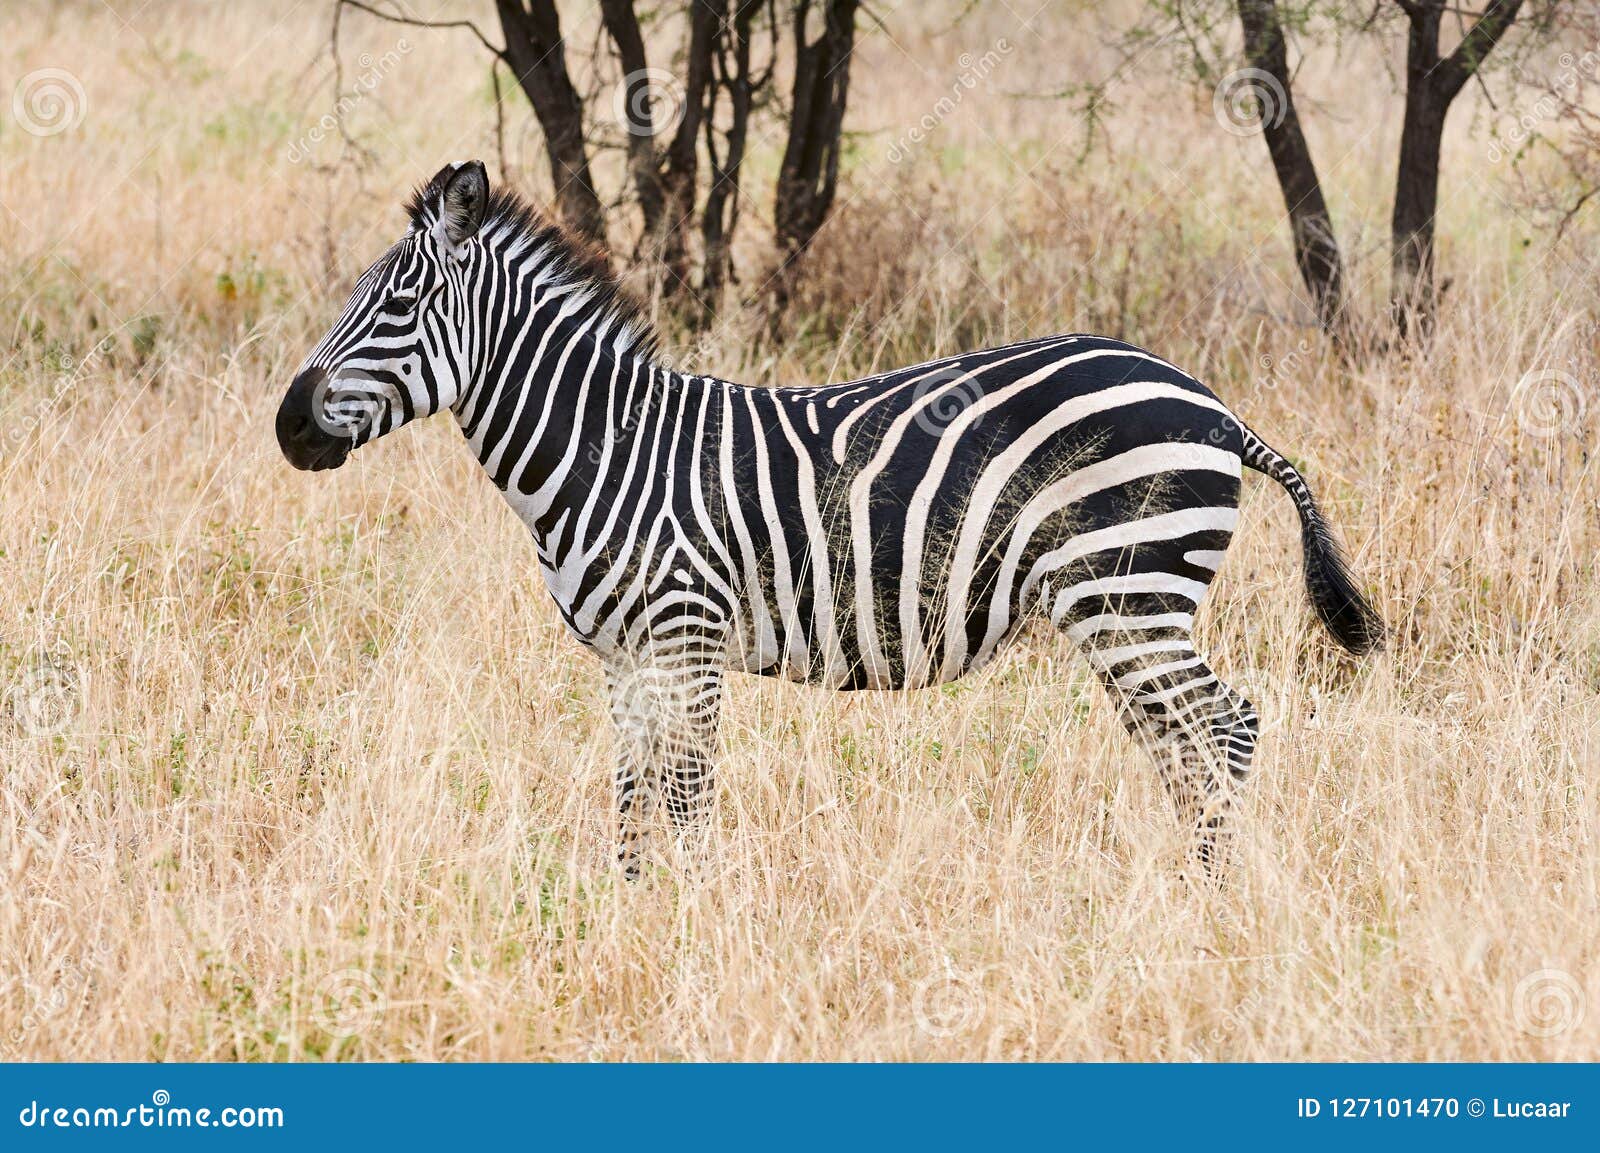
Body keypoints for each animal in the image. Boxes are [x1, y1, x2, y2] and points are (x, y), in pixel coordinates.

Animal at [276, 161, 1384, 877]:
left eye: (396, 309)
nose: (287, 426)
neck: (609, 451)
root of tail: (1213, 404)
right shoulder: (624, 658)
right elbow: (632, 794)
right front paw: (625, 917)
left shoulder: (685, 633)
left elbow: (685, 790)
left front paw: (696, 928)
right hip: (1126, 606)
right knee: (1181, 738)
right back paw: (1177, 884)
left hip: (1129, 587)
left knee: (1225, 727)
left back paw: (1204, 896)